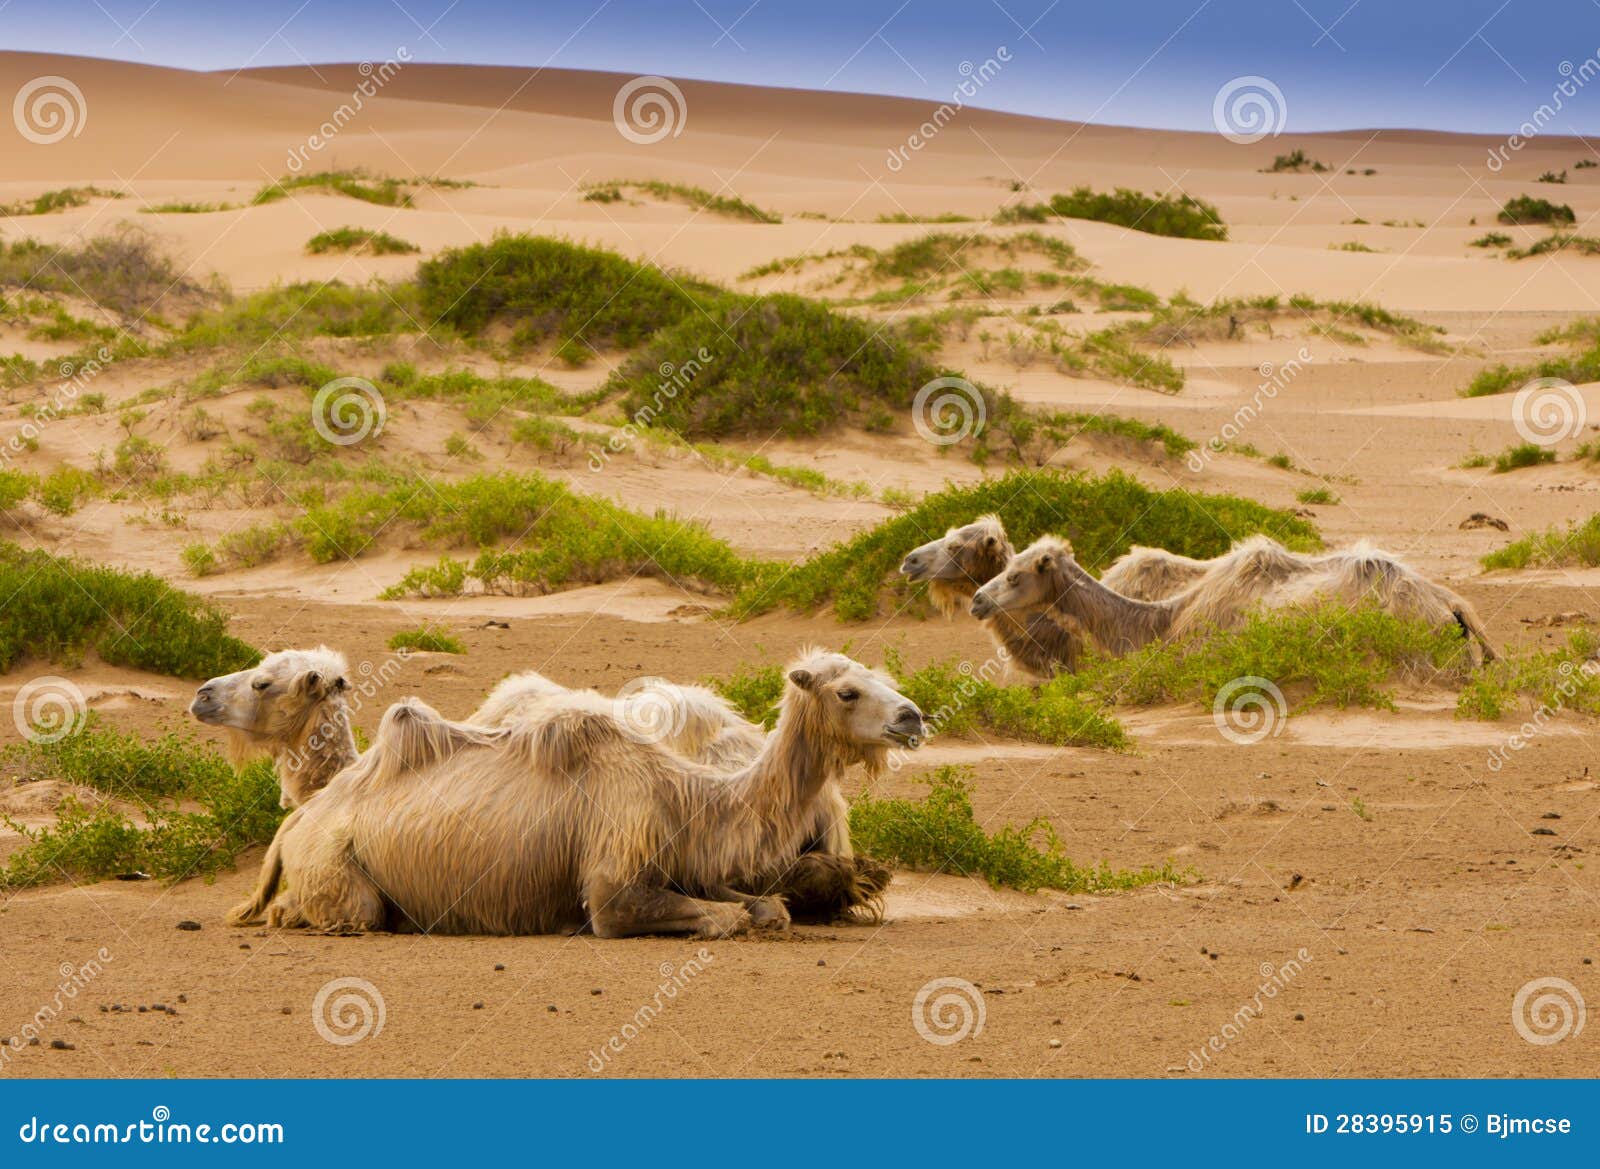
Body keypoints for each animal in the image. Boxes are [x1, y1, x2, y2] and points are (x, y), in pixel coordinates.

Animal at [225, 650, 923, 938]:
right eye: (847, 691)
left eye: (877, 676)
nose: (913, 717)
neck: (684, 794)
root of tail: (300, 822)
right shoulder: (613, 884)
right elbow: (721, 919)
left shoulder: (692, 864)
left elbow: (767, 908)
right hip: (337, 868)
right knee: (346, 911)